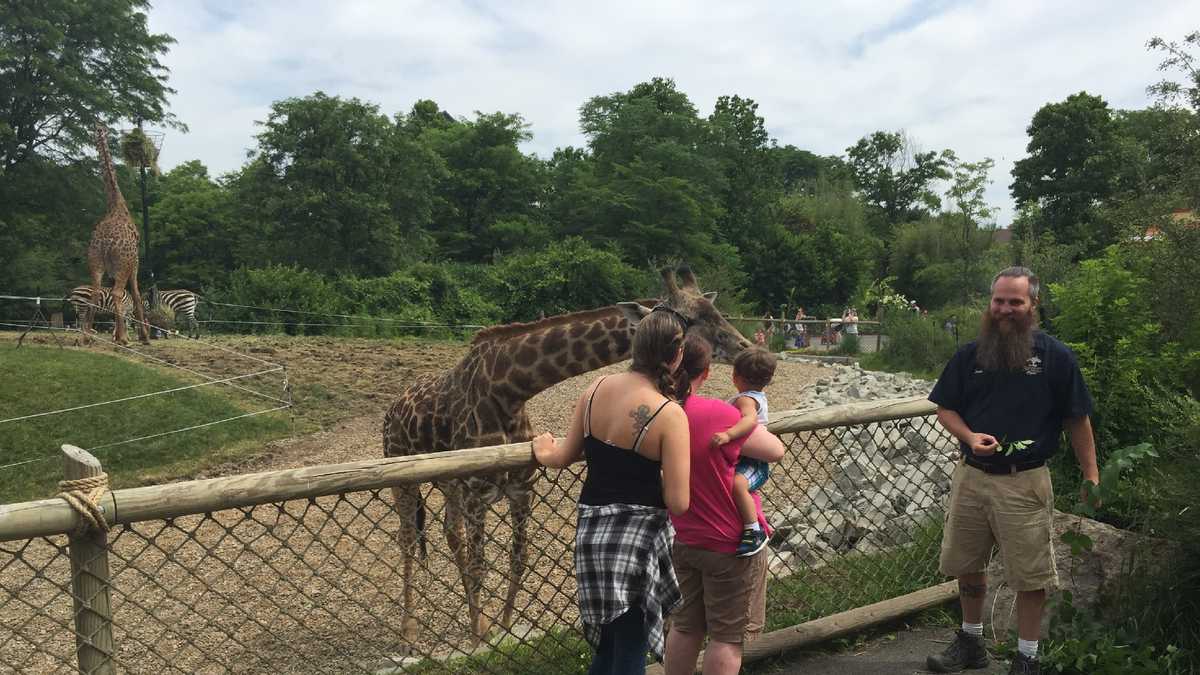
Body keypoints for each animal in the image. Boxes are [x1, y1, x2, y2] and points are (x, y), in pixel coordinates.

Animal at [82, 122, 149, 346]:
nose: (98, 129)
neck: (115, 204)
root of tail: (107, 243)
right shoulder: (135, 263)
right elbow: (136, 295)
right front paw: (142, 337)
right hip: (122, 264)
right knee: (118, 293)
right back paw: (124, 339)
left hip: (95, 261)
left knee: (95, 292)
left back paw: (85, 336)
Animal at [383, 267, 753, 646]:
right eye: (691, 319)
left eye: (715, 310)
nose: (744, 346)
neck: (509, 391)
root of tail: (392, 410)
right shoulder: (476, 493)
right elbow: (479, 566)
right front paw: (476, 638)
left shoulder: (520, 489)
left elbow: (519, 558)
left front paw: (500, 627)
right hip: (406, 480)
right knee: (408, 539)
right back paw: (409, 626)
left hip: (449, 484)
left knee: (449, 533)